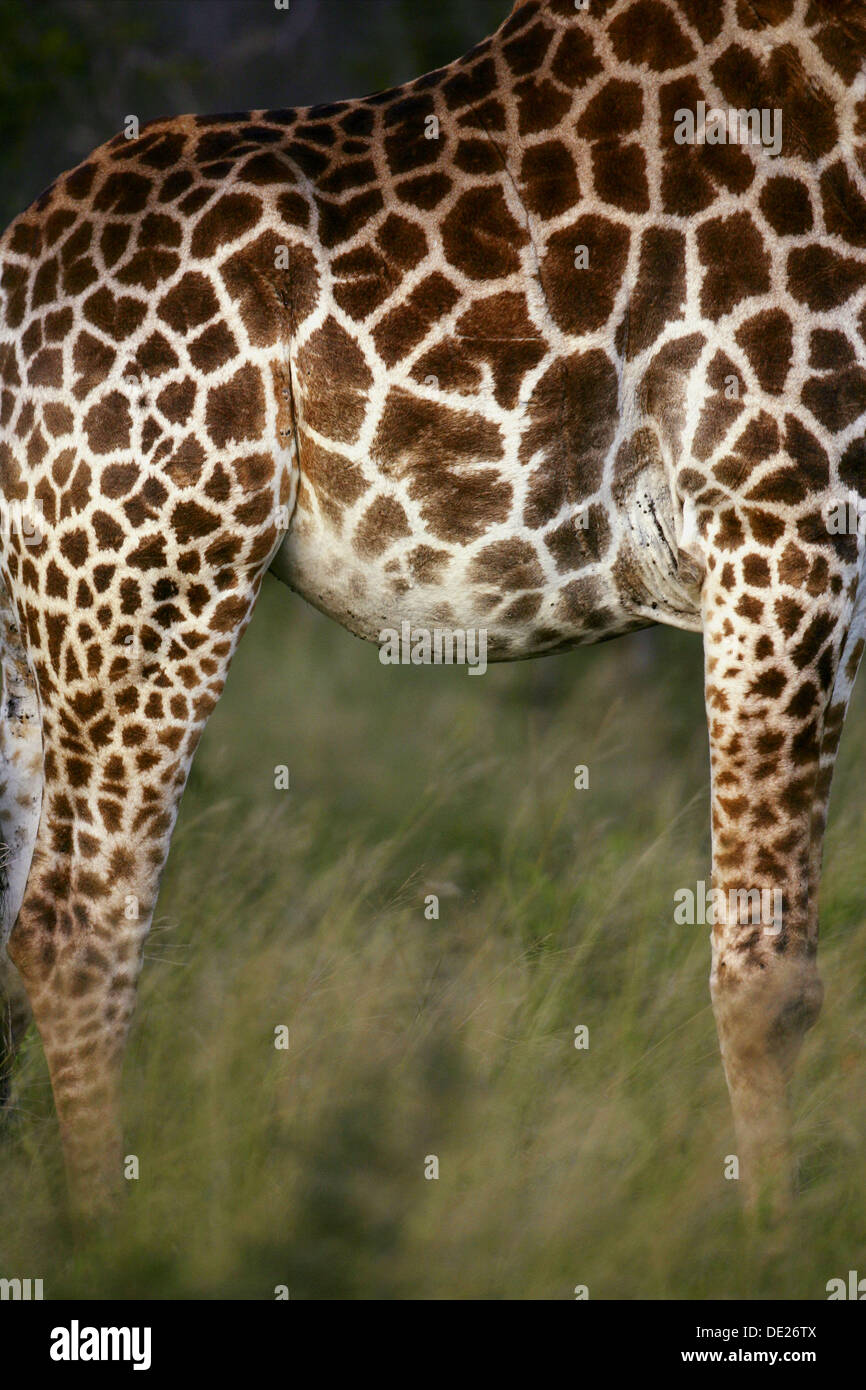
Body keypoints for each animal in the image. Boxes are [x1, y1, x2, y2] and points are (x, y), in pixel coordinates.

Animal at [0, 0, 865, 1217]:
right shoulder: (782, 519)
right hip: (152, 575)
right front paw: (770, 1242)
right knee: (76, 936)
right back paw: (110, 1233)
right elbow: (769, 983)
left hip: (47, 625)